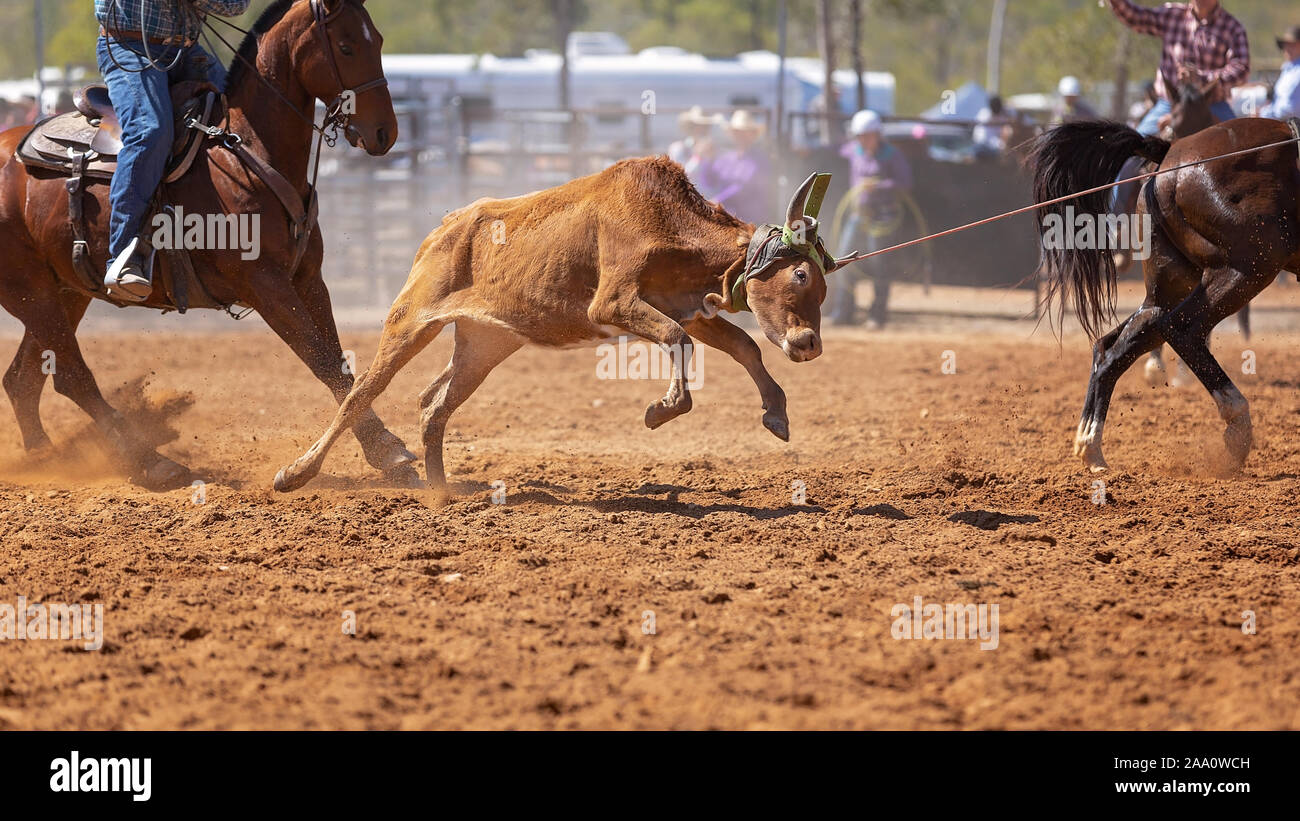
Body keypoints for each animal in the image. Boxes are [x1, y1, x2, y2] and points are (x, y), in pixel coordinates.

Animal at [272, 156, 864, 496]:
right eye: (800, 274)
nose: (808, 344)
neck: (667, 220)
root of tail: (446, 227)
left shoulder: (691, 308)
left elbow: (742, 347)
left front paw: (776, 412)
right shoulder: (614, 304)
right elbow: (678, 342)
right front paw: (664, 407)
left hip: (486, 343)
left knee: (435, 403)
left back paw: (442, 493)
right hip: (410, 321)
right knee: (360, 394)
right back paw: (295, 473)